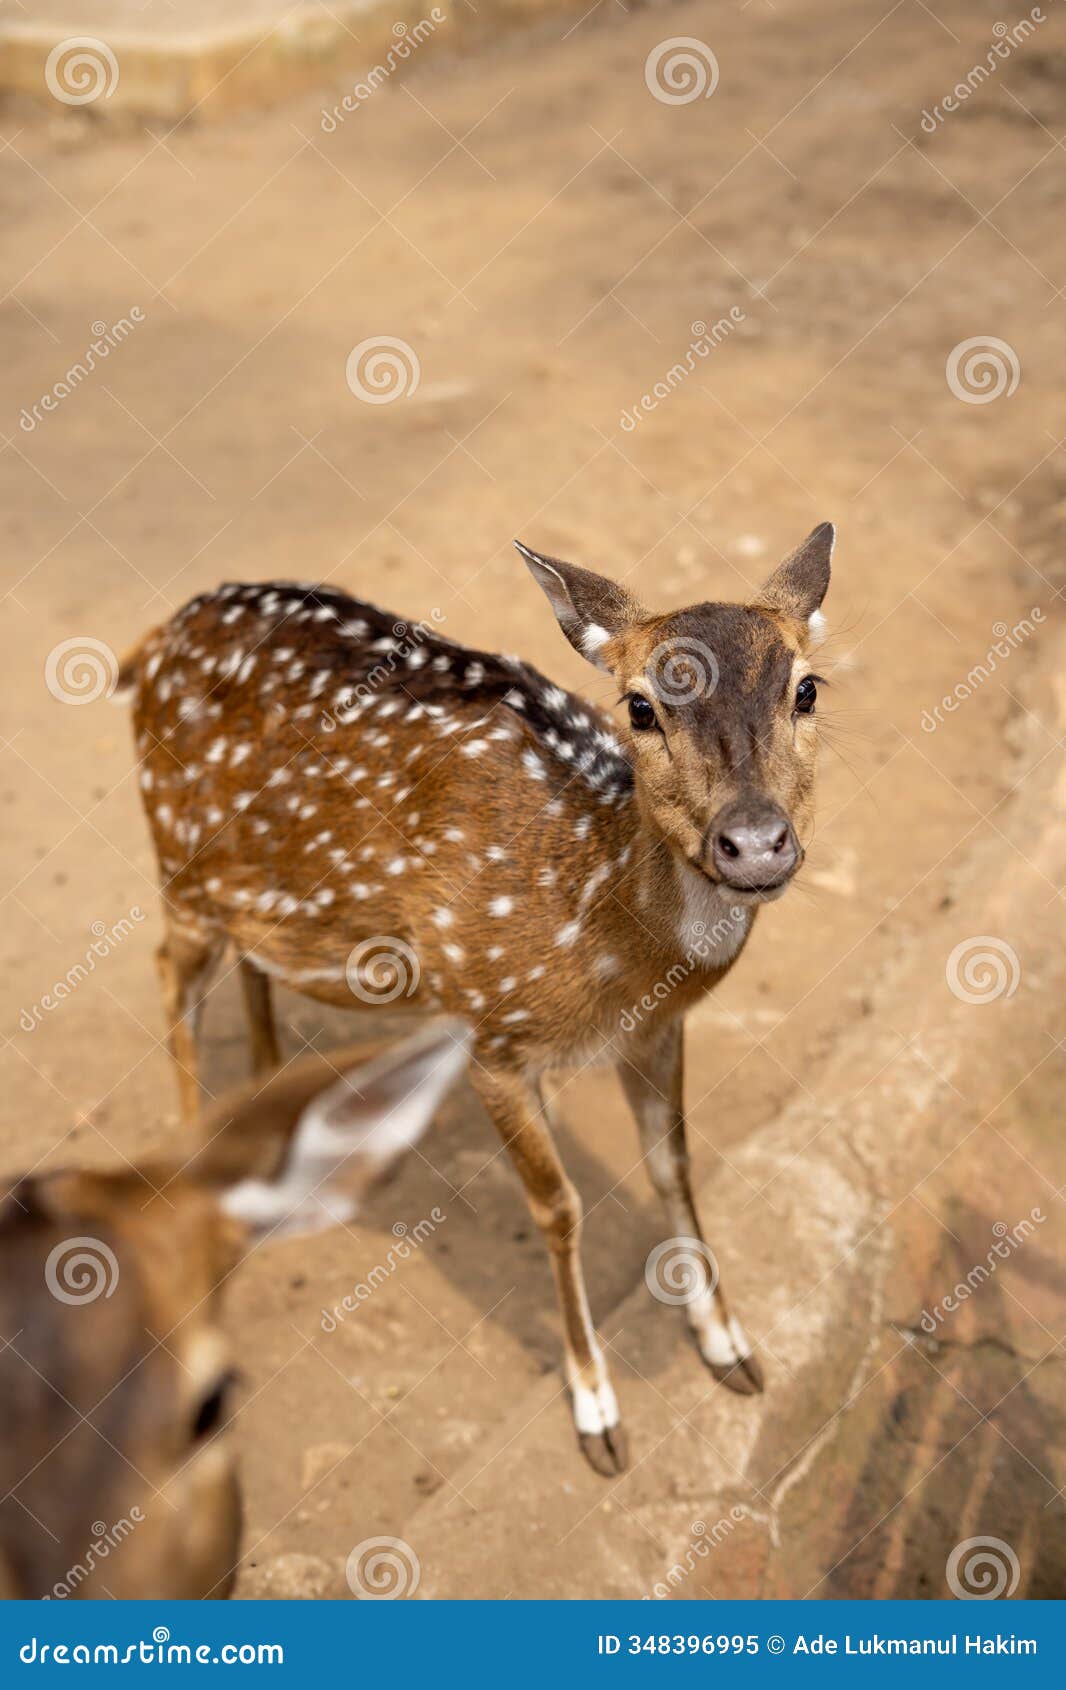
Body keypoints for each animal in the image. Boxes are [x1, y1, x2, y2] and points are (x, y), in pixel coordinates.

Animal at [119, 520, 834, 1476]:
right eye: (640, 705)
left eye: (806, 688)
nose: (753, 843)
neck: (600, 931)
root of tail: (152, 641)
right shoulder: (490, 1032)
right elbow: (559, 1208)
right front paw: (597, 1413)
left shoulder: (657, 1030)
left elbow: (672, 1164)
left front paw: (731, 1346)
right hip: (178, 864)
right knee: (169, 975)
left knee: (255, 961)